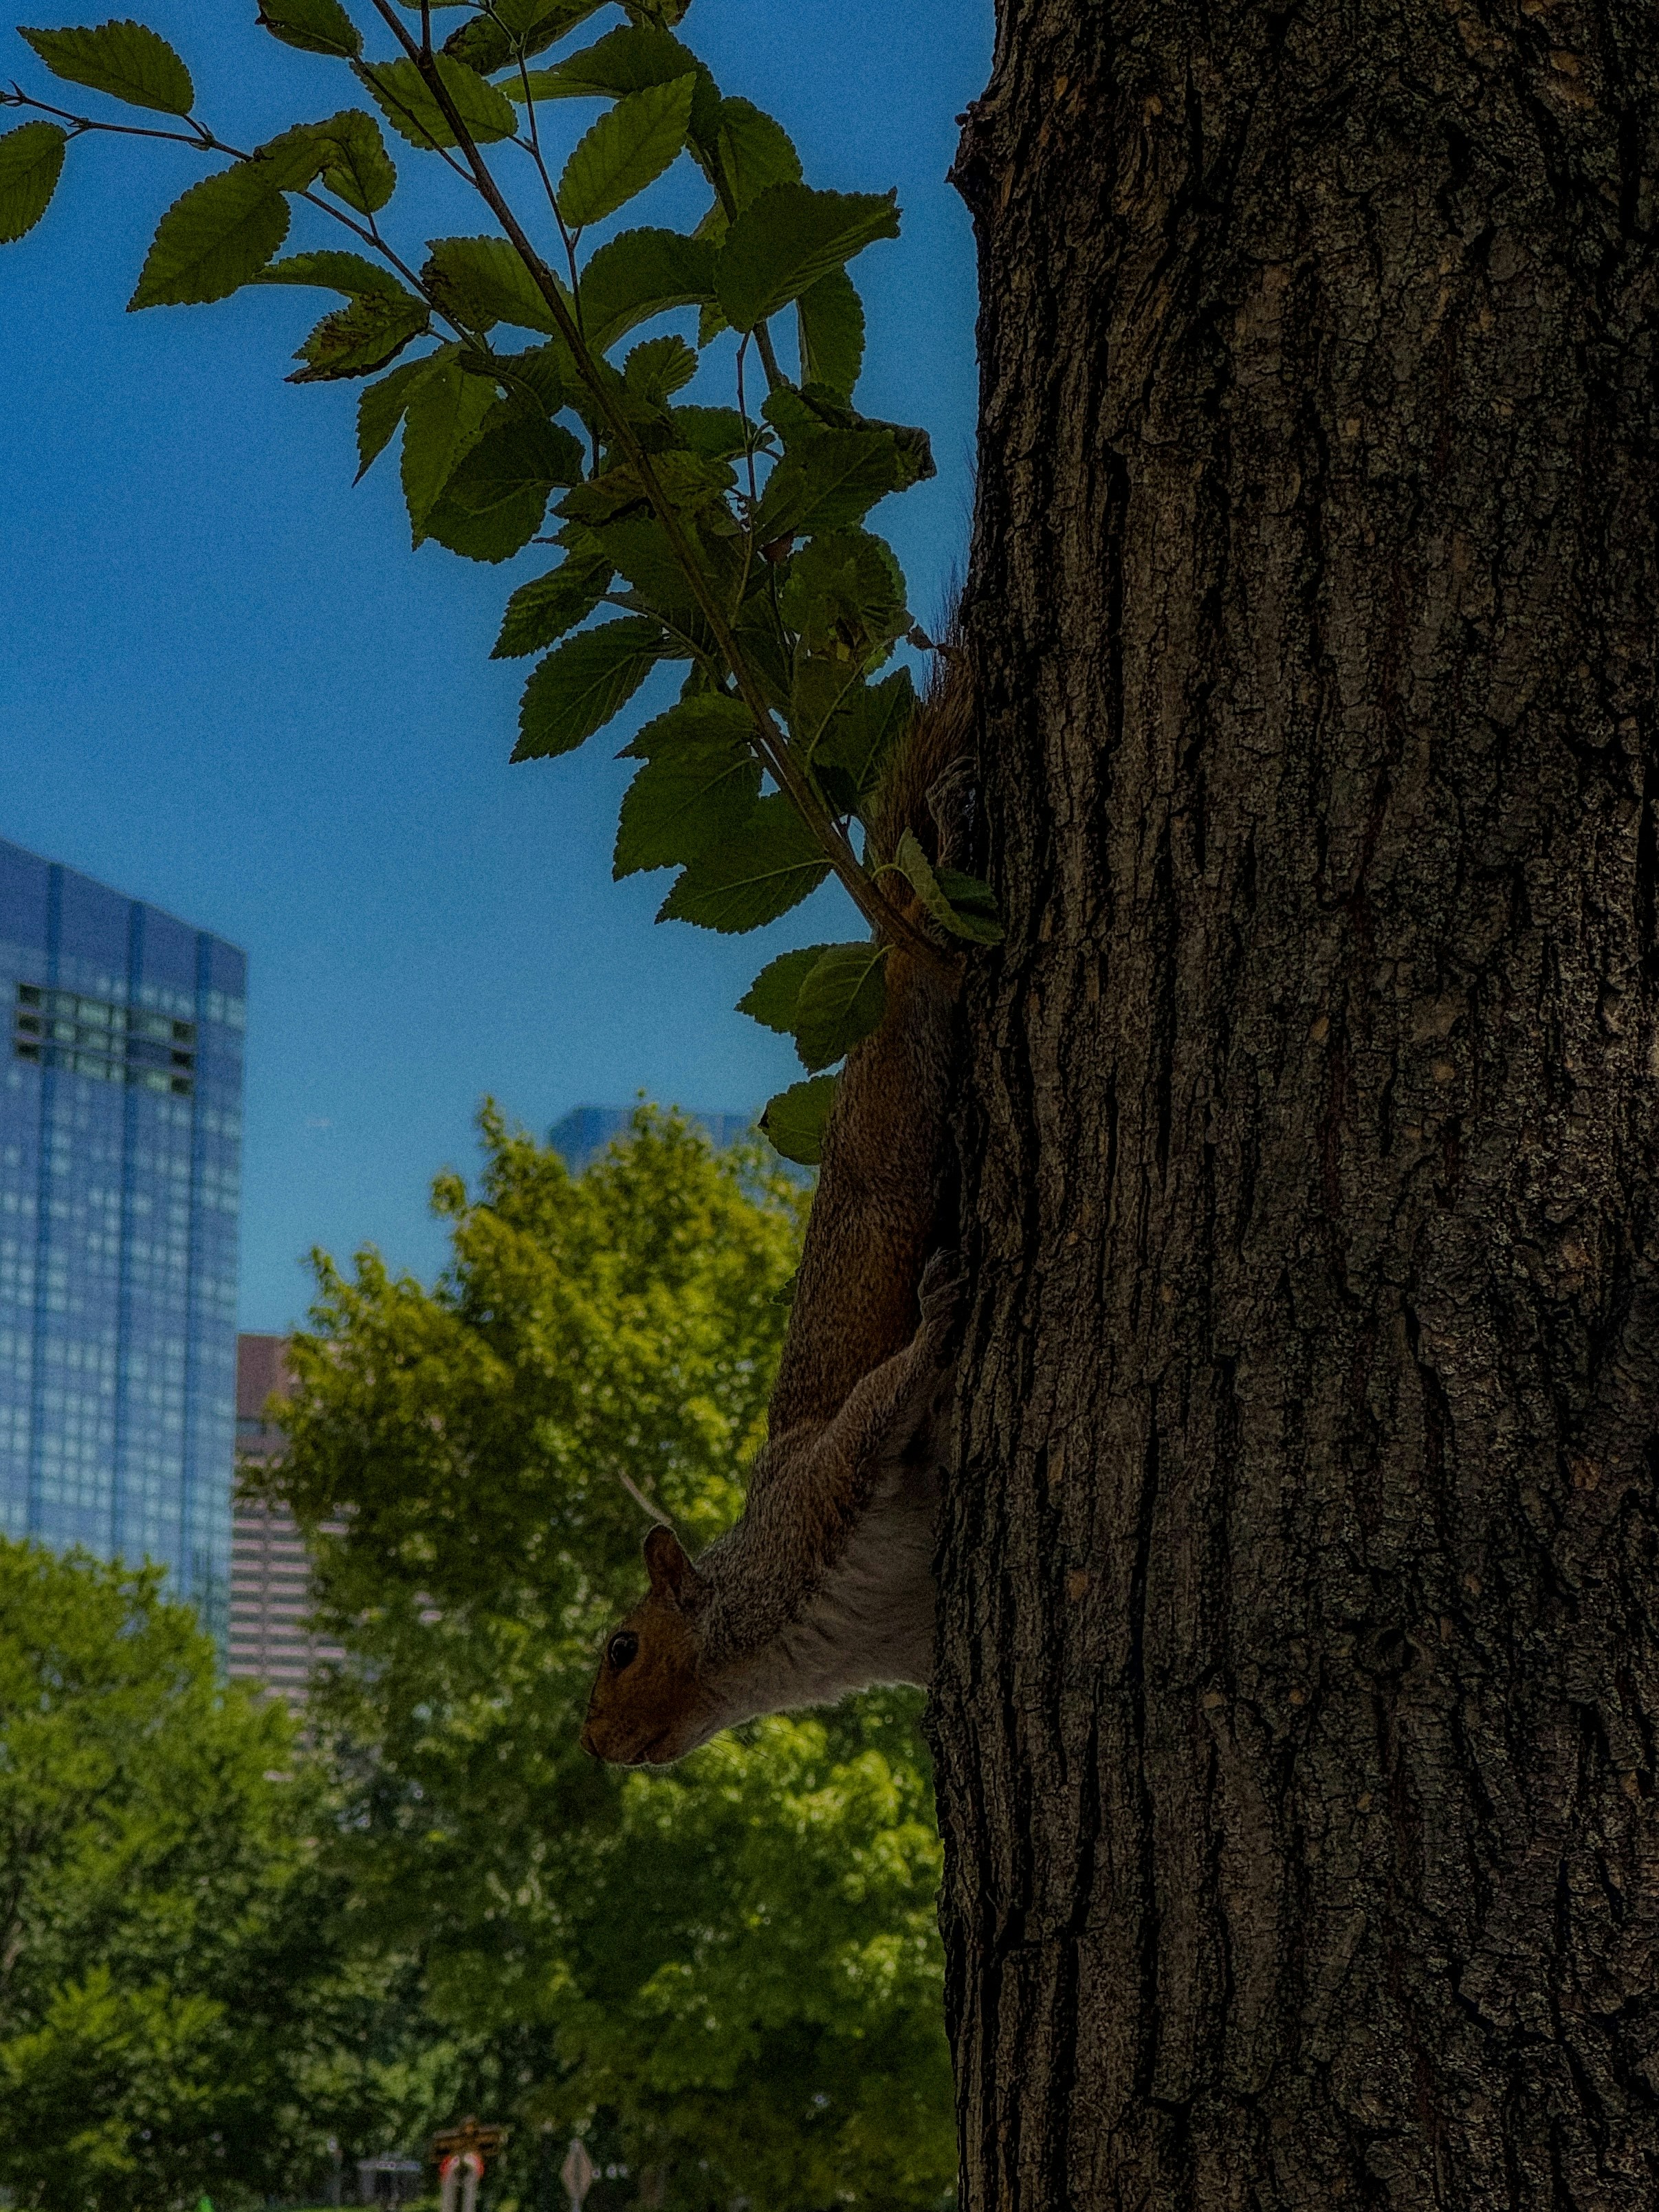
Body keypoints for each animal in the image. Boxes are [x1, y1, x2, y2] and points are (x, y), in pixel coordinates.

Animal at [580, 664, 973, 1767]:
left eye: (622, 1648)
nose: (593, 1742)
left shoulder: (814, 1504)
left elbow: (878, 1403)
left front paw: (937, 1319)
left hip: (894, 1098)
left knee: (926, 957)